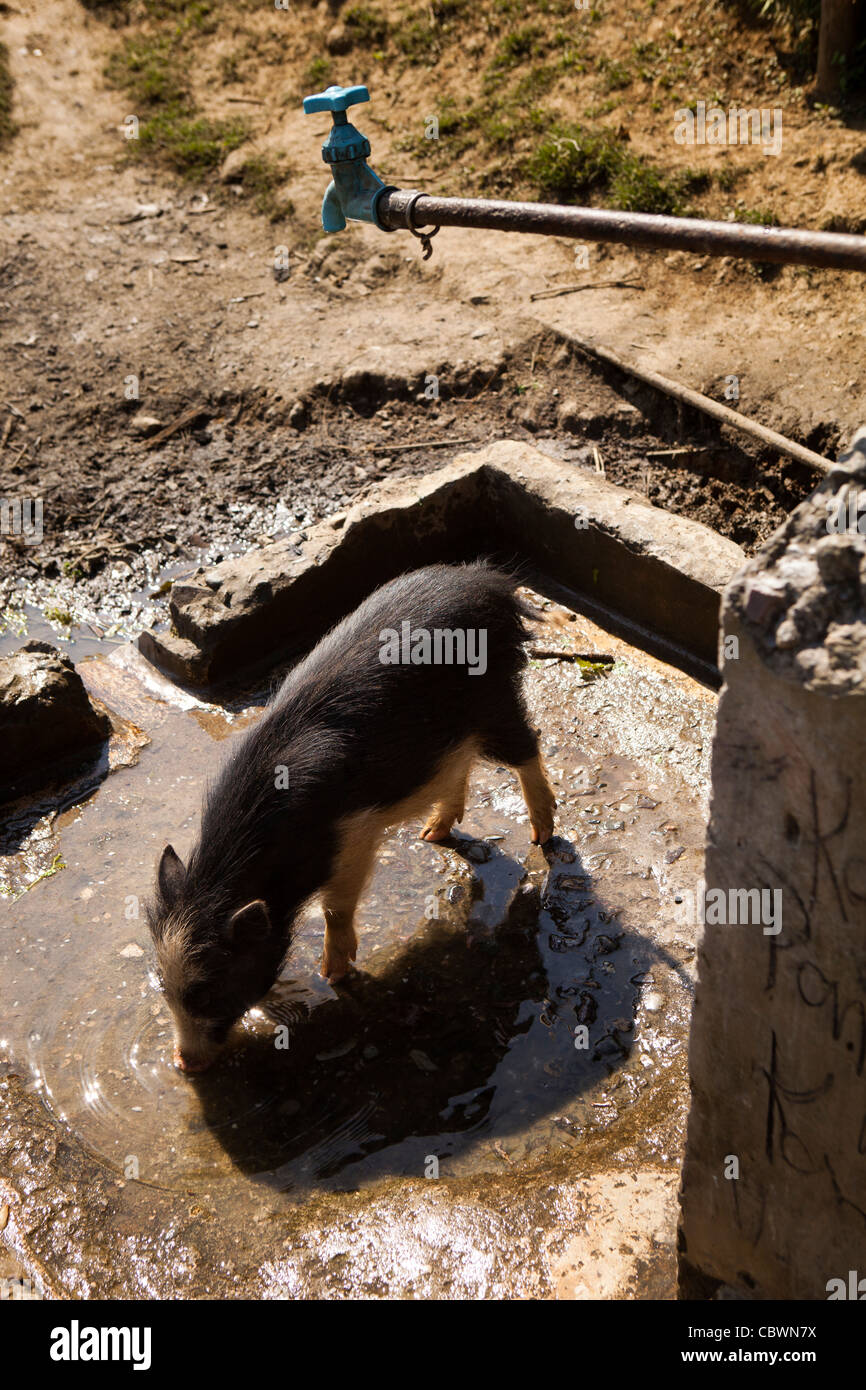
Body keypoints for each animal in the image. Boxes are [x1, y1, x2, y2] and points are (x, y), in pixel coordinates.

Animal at [147, 561, 556, 1072]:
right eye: (166, 988)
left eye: (205, 993)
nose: (182, 1064)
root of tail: (490, 583)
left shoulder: (352, 834)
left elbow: (336, 907)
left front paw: (333, 975)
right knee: (458, 765)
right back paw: (430, 835)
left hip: (495, 698)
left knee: (527, 746)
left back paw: (543, 834)